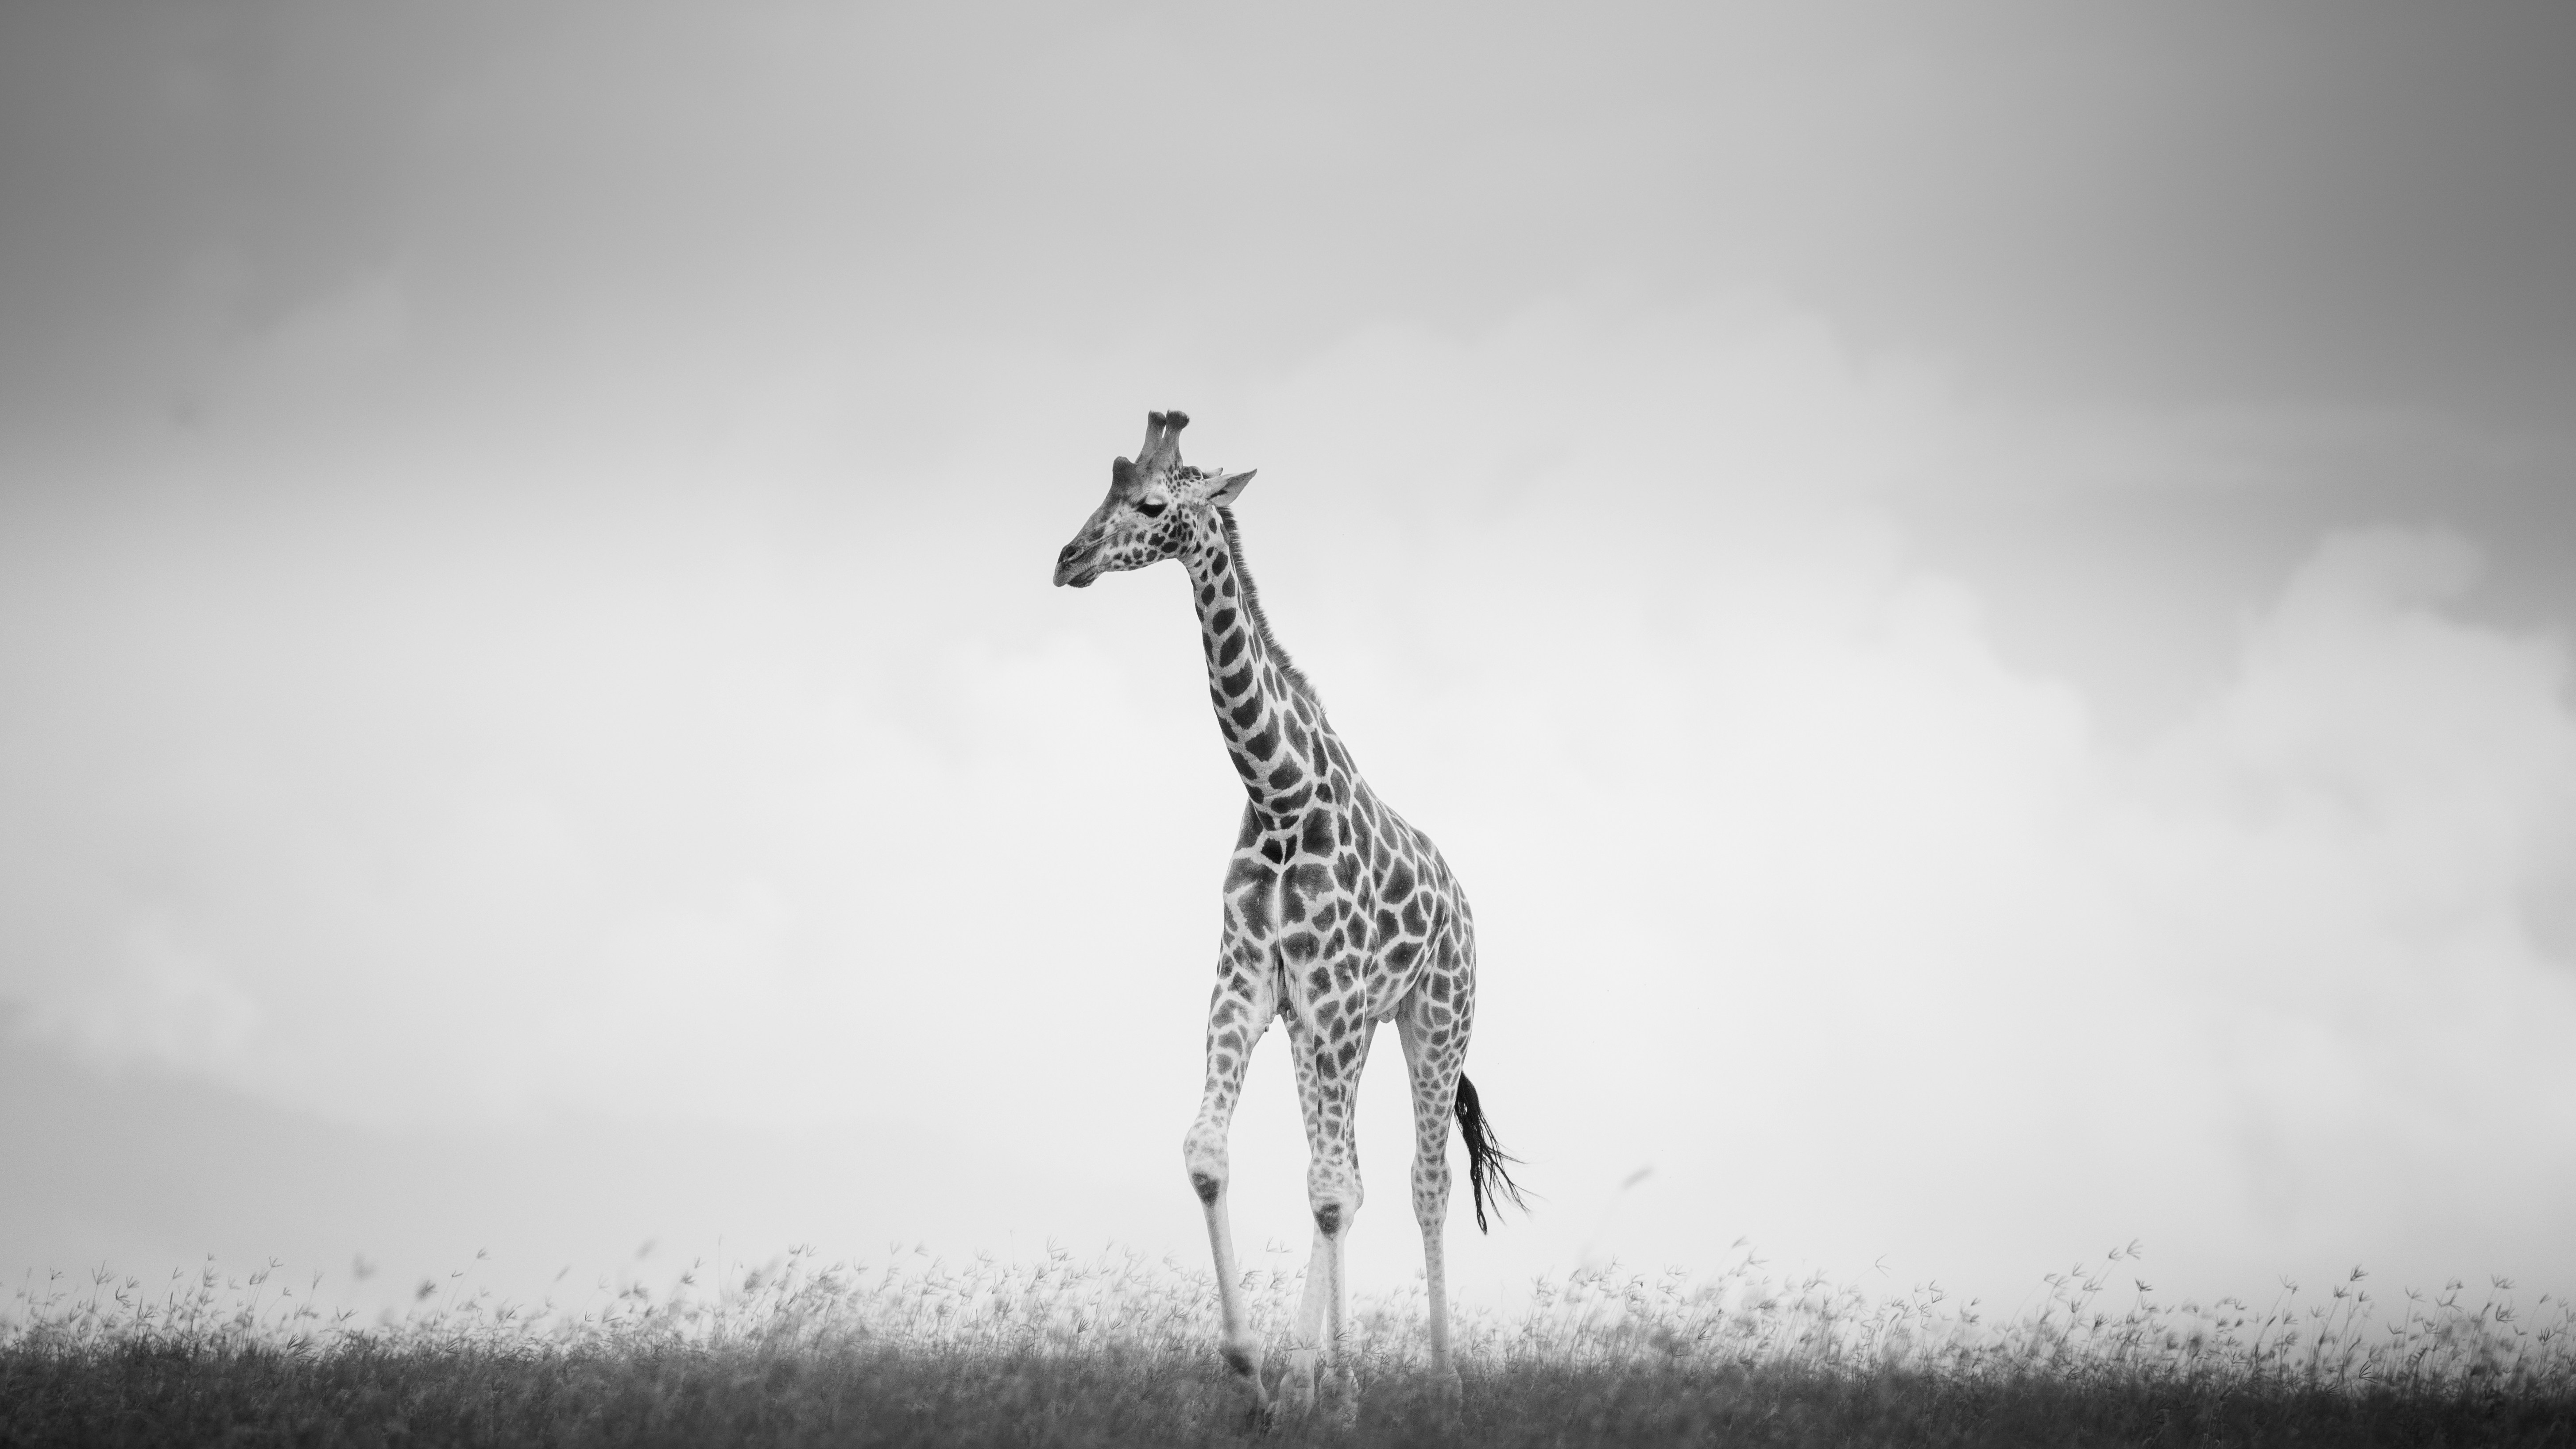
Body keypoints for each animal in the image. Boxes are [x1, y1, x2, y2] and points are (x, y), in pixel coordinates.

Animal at [1052, 410, 1523, 1420]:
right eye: (1106, 488)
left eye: (1149, 505)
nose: (1066, 558)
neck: (1277, 794)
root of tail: (1461, 902)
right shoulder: (1251, 983)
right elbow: (1212, 1153)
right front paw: (1259, 1371)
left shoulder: (1336, 999)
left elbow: (1337, 1188)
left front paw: (1322, 1387)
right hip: (1329, 1032)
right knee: (1348, 1174)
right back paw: (1324, 1371)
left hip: (1431, 1018)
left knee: (1419, 1183)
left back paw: (1439, 1380)